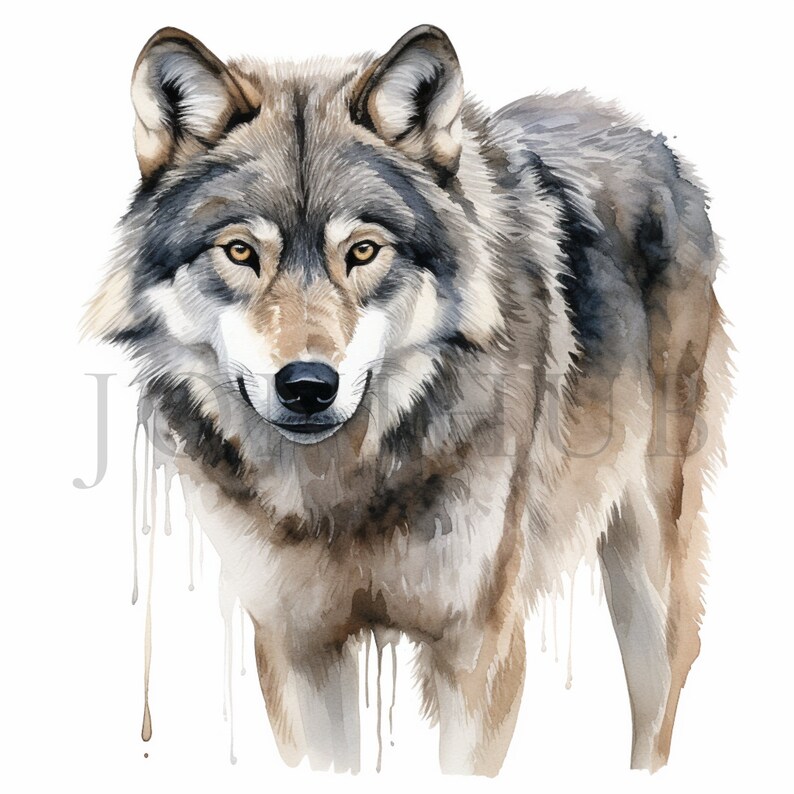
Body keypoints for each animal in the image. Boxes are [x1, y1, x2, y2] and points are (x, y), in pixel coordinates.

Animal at [86, 24, 730, 775]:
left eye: (364, 251)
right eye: (241, 252)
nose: (308, 385)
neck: (341, 493)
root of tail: (633, 127)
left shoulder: (479, 647)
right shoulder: (297, 648)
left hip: (648, 568)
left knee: (662, 694)